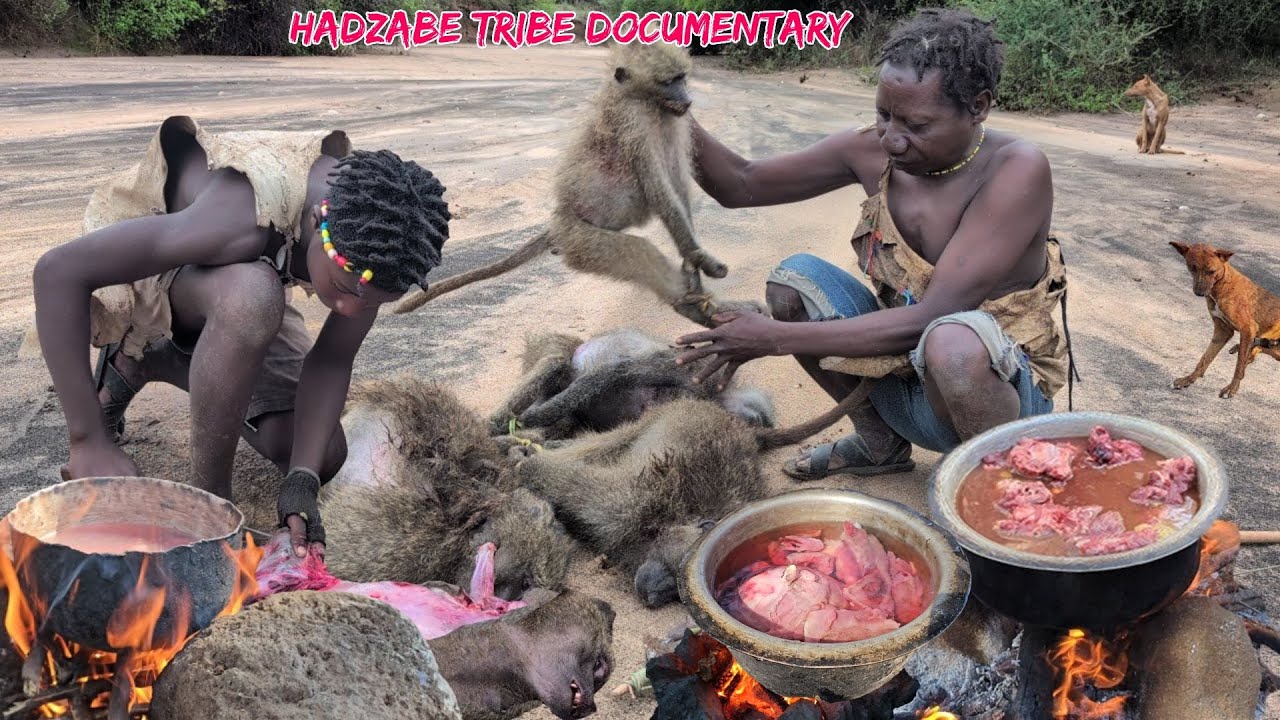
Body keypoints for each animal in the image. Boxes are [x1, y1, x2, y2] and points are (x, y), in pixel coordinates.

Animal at [394, 41, 762, 328]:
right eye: (668, 81)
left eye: (682, 78)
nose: (686, 98)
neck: (643, 101)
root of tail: (557, 224)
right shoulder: (635, 121)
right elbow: (660, 189)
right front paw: (701, 260)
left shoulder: (673, 123)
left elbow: (677, 184)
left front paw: (694, 263)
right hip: (578, 240)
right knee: (637, 252)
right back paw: (694, 311)